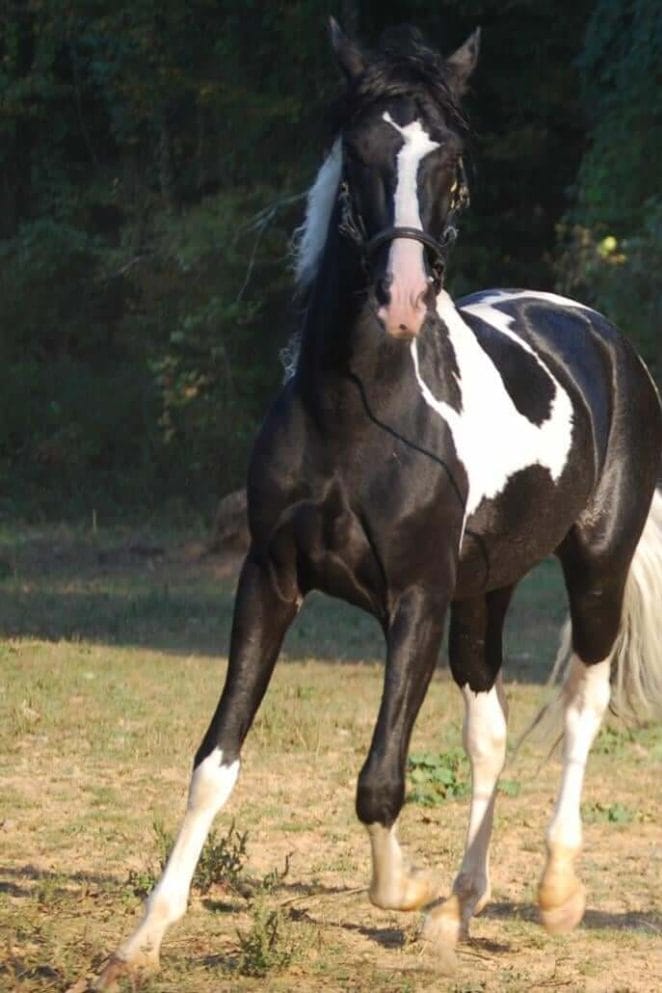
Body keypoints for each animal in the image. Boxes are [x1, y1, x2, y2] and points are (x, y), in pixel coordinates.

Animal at [96, 21, 662, 986]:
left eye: (452, 160)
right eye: (358, 150)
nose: (400, 298)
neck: (356, 411)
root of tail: (602, 334)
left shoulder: (416, 600)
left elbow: (380, 779)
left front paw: (402, 889)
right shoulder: (271, 582)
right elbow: (214, 761)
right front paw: (146, 935)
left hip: (595, 566)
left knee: (583, 706)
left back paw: (554, 891)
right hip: (486, 591)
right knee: (491, 732)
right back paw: (459, 907)